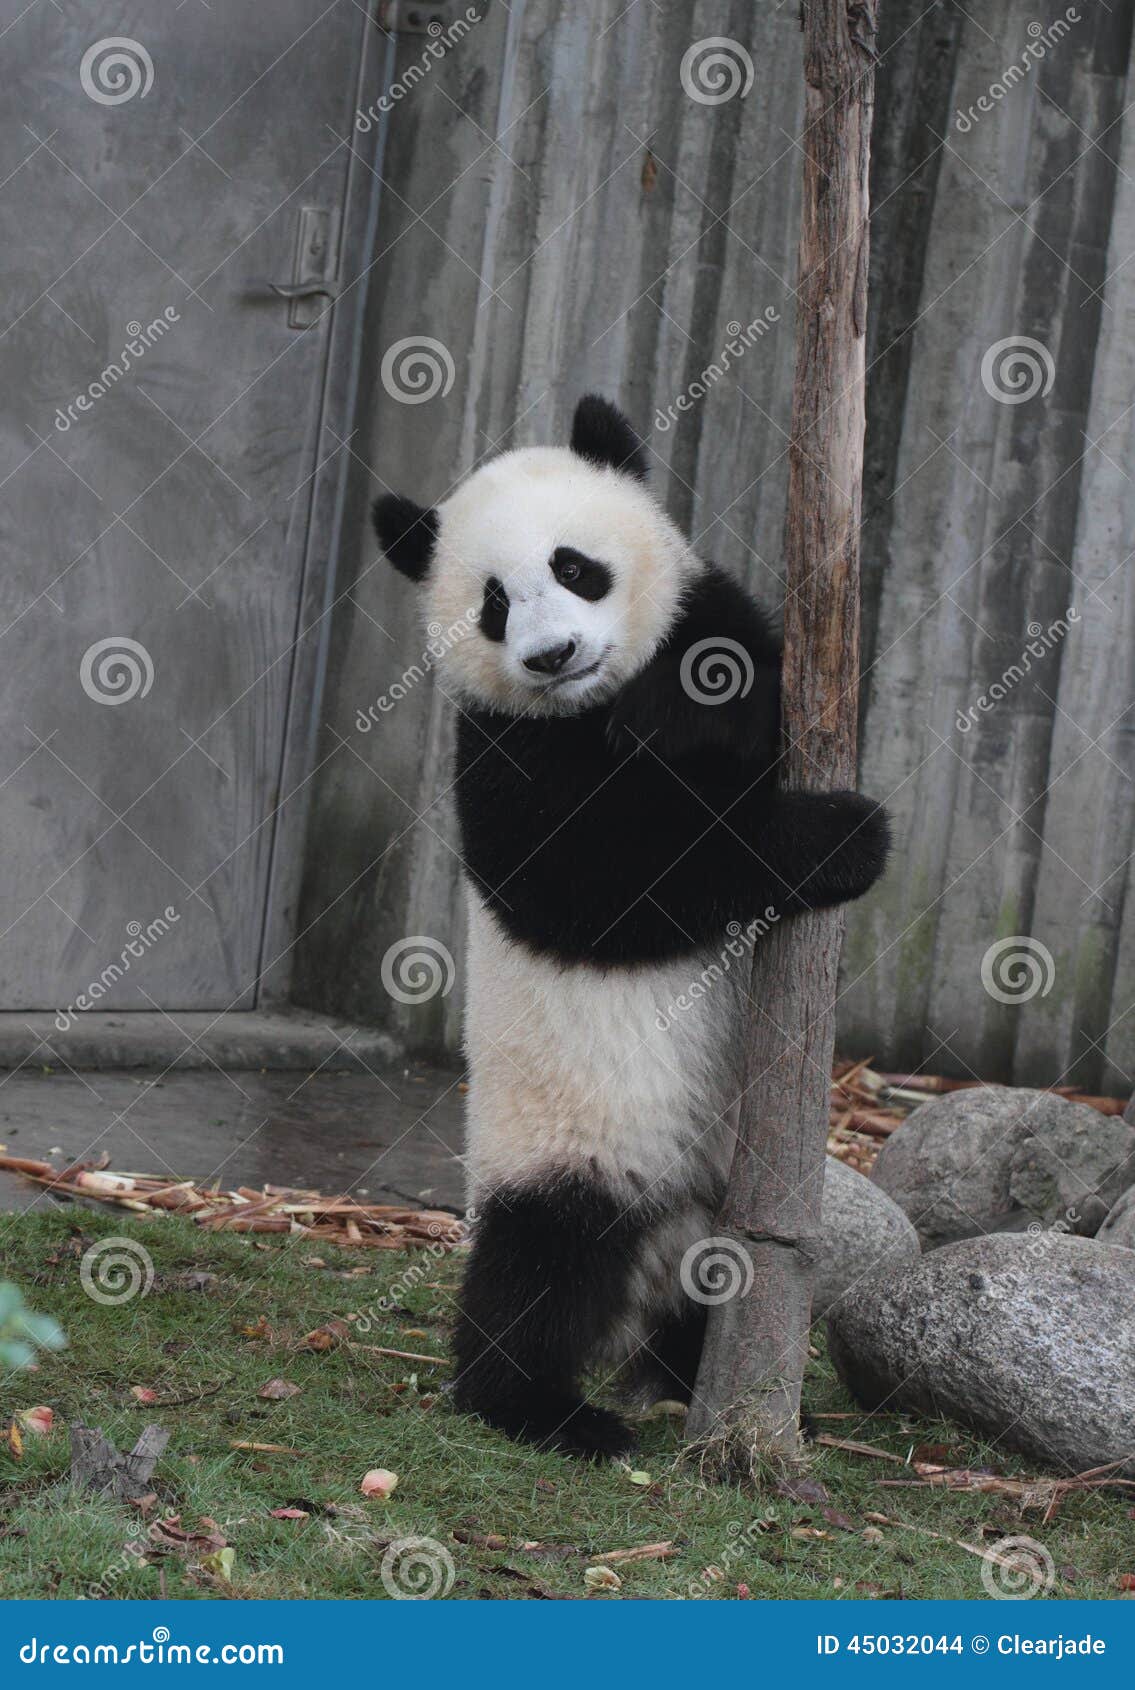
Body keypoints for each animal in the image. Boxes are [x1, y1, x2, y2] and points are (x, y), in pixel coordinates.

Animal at [373, 396, 889, 1459]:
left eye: (575, 566)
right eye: (493, 603)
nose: (553, 656)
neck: (591, 708)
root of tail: (651, 1273)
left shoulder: (720, 628)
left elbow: (747, 669)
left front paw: (683, 707)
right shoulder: (501, 751)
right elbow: (603, 888)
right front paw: (838, 839)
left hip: (715, 1204)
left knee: (710, 1299)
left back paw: (712, 1393)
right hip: (564, 1154)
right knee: (538, 1271)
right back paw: (546, 1410)